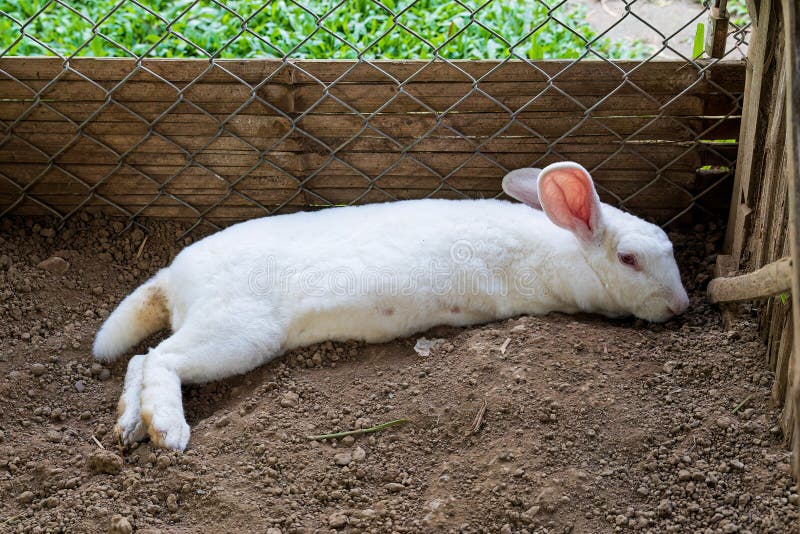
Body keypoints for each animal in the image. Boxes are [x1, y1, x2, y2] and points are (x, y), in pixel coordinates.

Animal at [93, 161, 689, 451]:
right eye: (630, 259)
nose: (681, 306)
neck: (561, 249)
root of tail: (172, 278)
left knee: (139, 360)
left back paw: (128, 429)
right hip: (236, 331)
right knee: (162, 360)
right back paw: (168, 433)